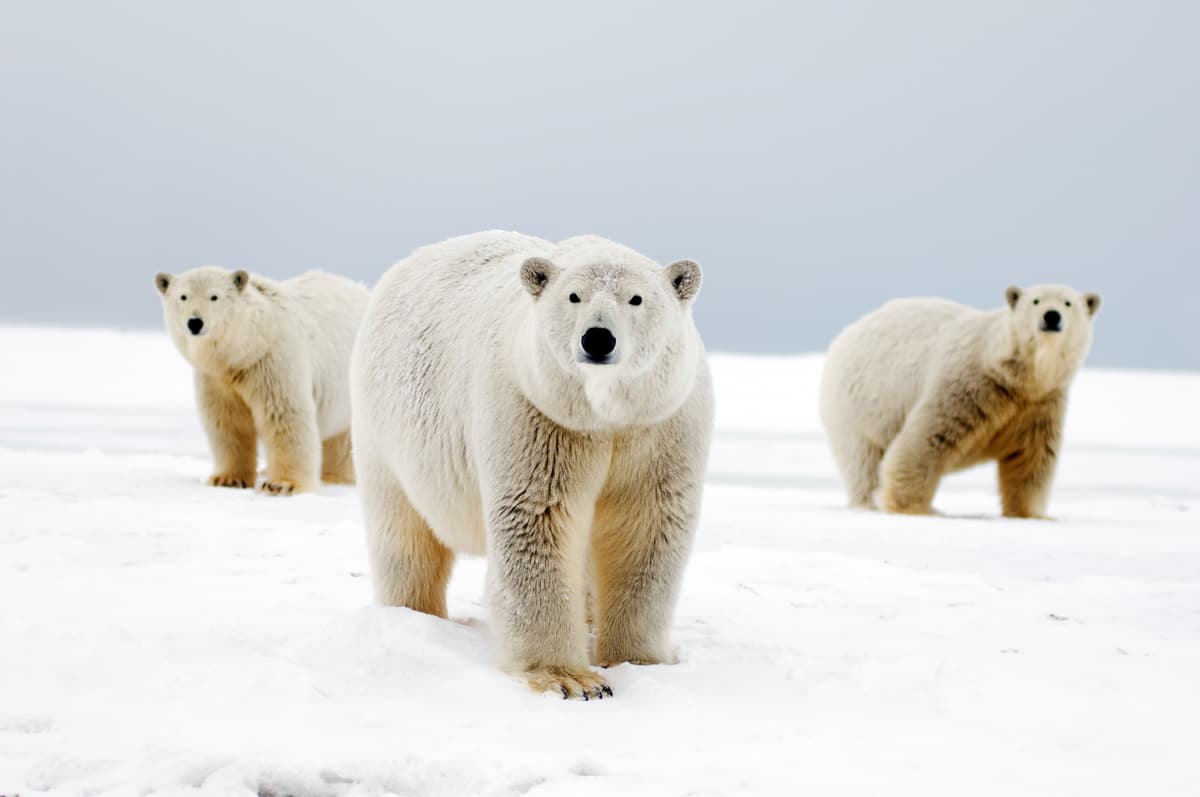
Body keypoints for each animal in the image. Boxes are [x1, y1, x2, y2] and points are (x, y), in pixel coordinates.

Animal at [155, 266, 369, 495]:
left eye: (214, 296)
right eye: (183, 296)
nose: (195, 322)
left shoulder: (272, 362)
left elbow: (285, 415)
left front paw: (282, 484)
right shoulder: (217, 378)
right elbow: (228, 422)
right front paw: (228, 479)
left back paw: (334, 475)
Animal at [350, 231, 714, 699]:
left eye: (636, 298)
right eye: (574, 296)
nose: (598, 339)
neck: (602, 415)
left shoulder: (660, 424)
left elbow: (646, 526)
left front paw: (639, 661)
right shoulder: (537, 413)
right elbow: (538, 518)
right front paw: (572, 679)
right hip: (386, 432)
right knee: (404, 533)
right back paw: (414, 615)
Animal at [819, 284, 1101, 518]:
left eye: (1068, 303)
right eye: (1036, 301)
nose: (1051, 316)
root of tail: (845, 334)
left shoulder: (1040, 403)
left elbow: (1032, 457)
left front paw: (1032, 514)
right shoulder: (967, 384)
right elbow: (926, 439)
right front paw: (912, 508)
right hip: (856, 406)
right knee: (862, 461)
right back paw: (869, 502)